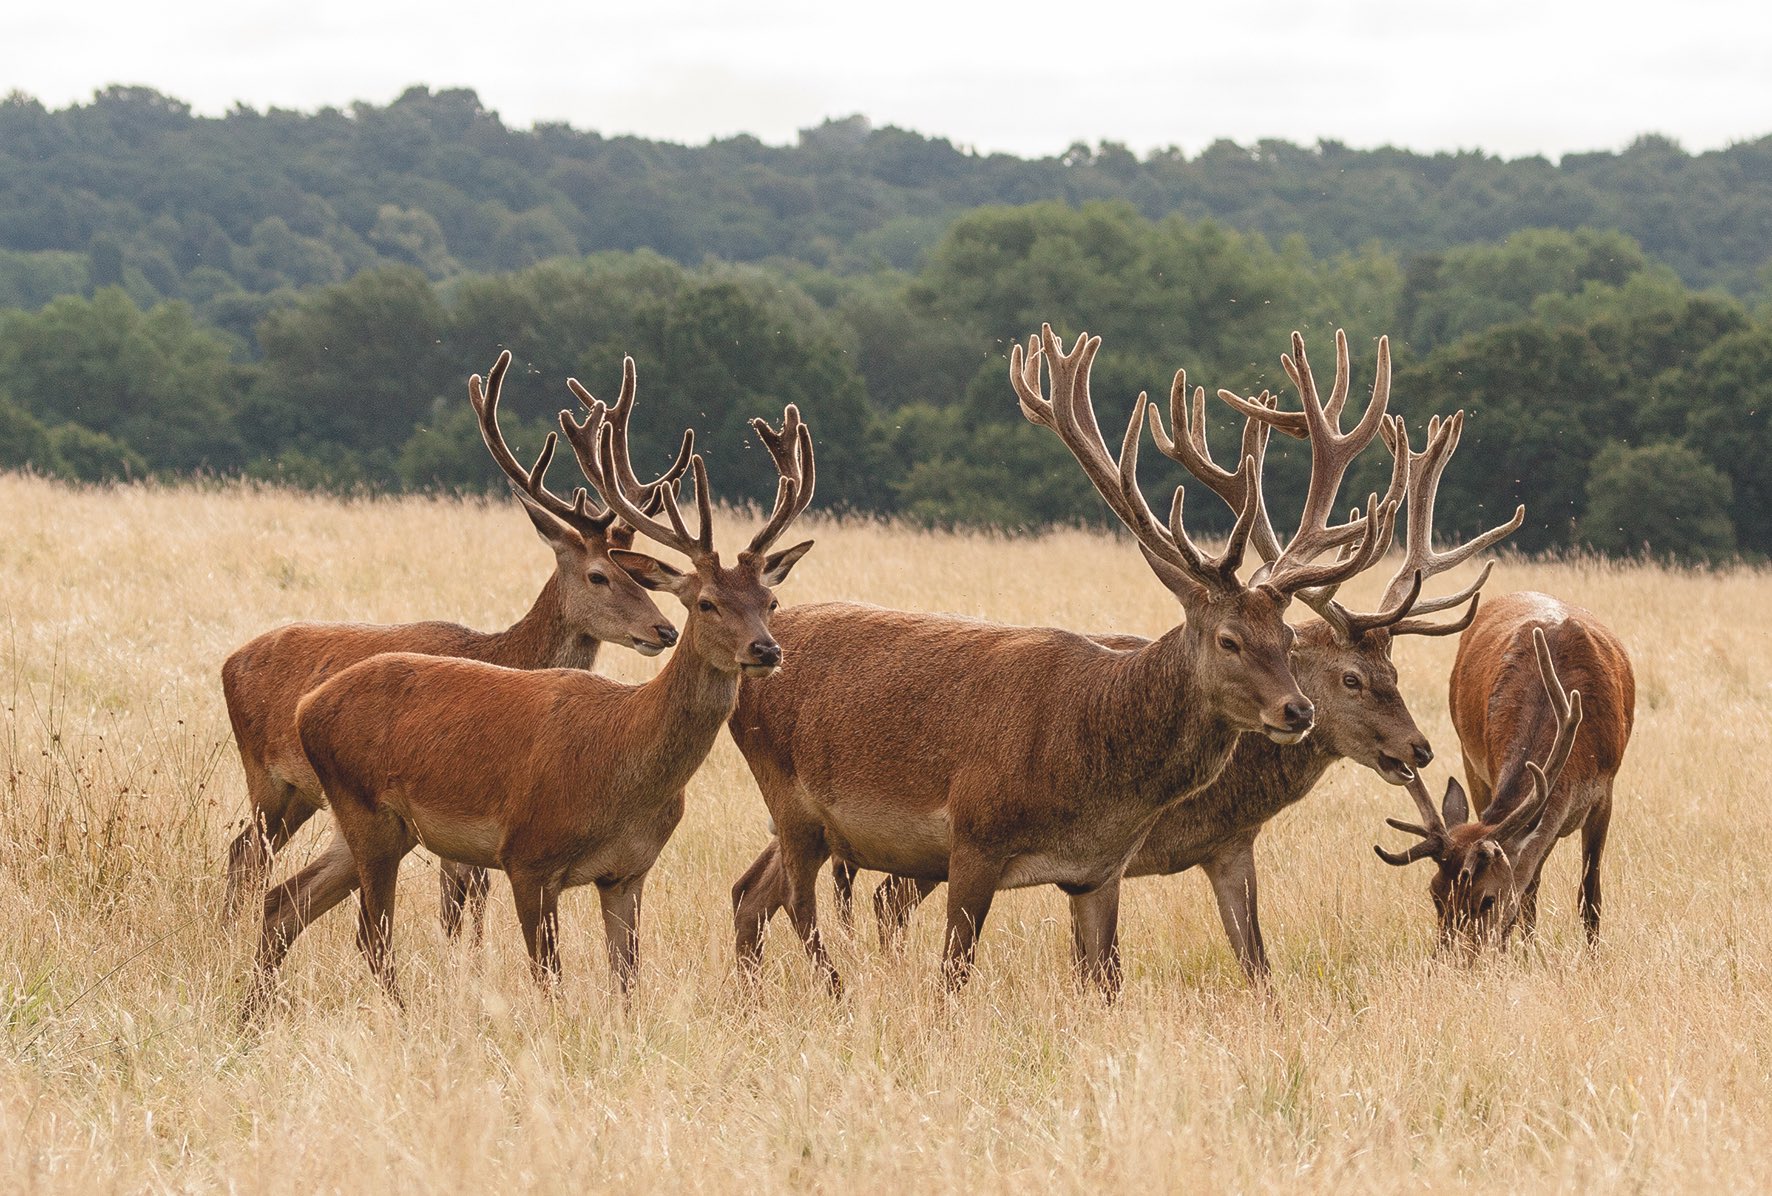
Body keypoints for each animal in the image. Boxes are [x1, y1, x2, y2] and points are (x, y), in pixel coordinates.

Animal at [220, 350, 689, 932]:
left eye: (640, 572)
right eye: (598, 575)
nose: (664, 630)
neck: (505, 653)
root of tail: (229, 663)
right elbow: (457, 901)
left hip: (300, 793)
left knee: (246, 853)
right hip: (265, 775)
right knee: (244, 853)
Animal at [243, 396, 816, 1020]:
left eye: (770, 600)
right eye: (706, 603)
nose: (766, 650)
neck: (622, 761)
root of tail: (308, 706)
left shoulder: (628, 872)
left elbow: (627, 981)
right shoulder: (527, 855)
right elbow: (548, 979)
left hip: (363, 824)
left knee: (282, 902)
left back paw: (253, 1012)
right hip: (362, 810)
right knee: (369, 931)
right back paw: (397, 1014)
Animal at [734, 334, 1522, 982]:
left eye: (1285, 645)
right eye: (1353, 679)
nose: (1418, 748)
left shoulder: (1174, 858)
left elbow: (1230, 965)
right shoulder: (973, 840)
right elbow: (954, 972)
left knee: (751, 893)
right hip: (810, 807)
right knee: (834, 902)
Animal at [1375, 591, 1634, 955]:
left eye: (1487, 899)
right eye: (1435, 894)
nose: (1450, 960)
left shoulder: (1604, 791)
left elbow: (1590, 894)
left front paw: (1594, 959)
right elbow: (1528, 891)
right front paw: (1524, 954)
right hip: (1471, 763)